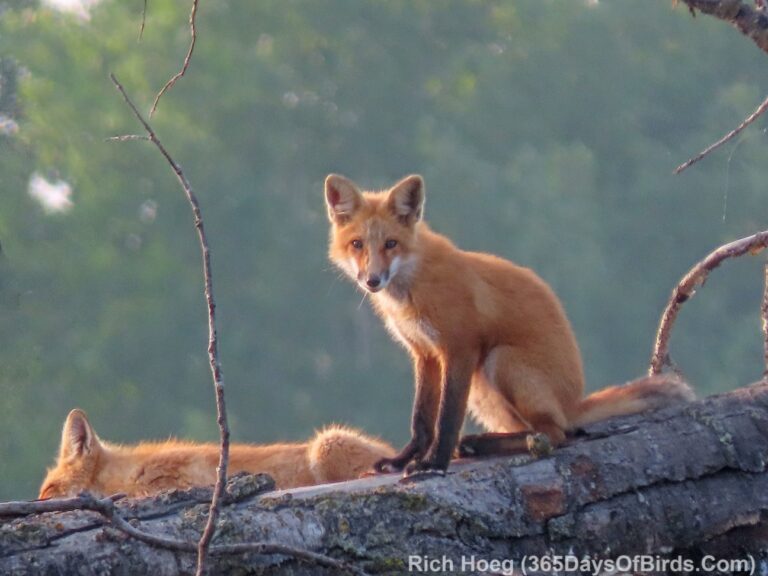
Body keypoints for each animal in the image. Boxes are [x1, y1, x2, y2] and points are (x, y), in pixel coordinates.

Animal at [324, 173, 695, 476]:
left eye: (391, 244)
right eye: (357, 244)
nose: (372, 280)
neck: (414, 284)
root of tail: (574, 401)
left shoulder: (460, 348)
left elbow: (447, 419)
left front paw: (434, 464)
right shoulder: (425, 354)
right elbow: (422, 420)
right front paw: (403, 460)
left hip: (499, 361)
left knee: (558, 432)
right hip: (483, 388)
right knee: (541, 430)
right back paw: (481, 444)